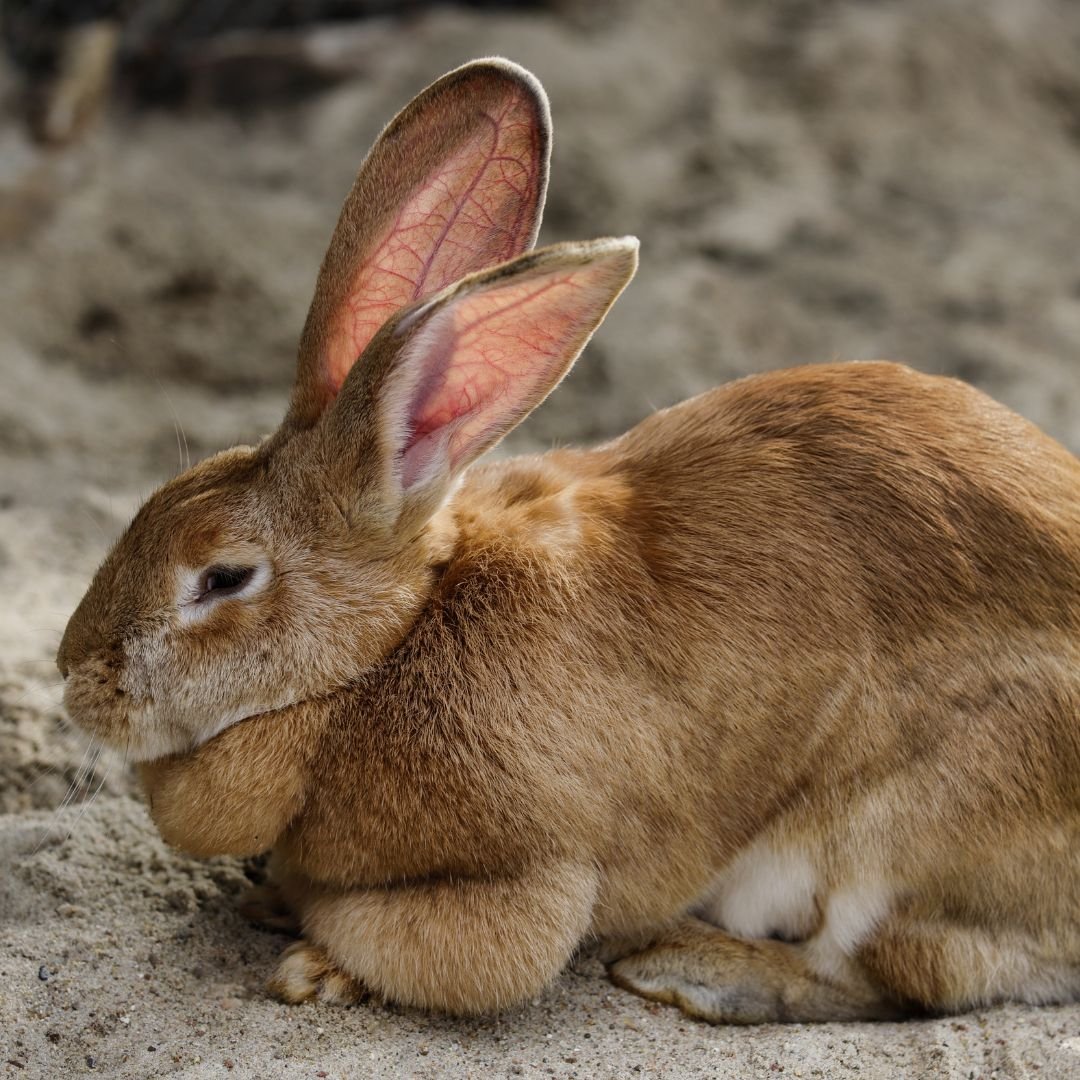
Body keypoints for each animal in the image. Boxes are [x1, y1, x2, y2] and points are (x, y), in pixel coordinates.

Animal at [57, 57, 1080, 1024]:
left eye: (224, 577)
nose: (76, 677)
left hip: (903, 832)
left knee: (906, 973)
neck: (378, 658)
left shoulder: (526, 880)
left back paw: (698, 970)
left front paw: (314, 962)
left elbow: (444, 949)